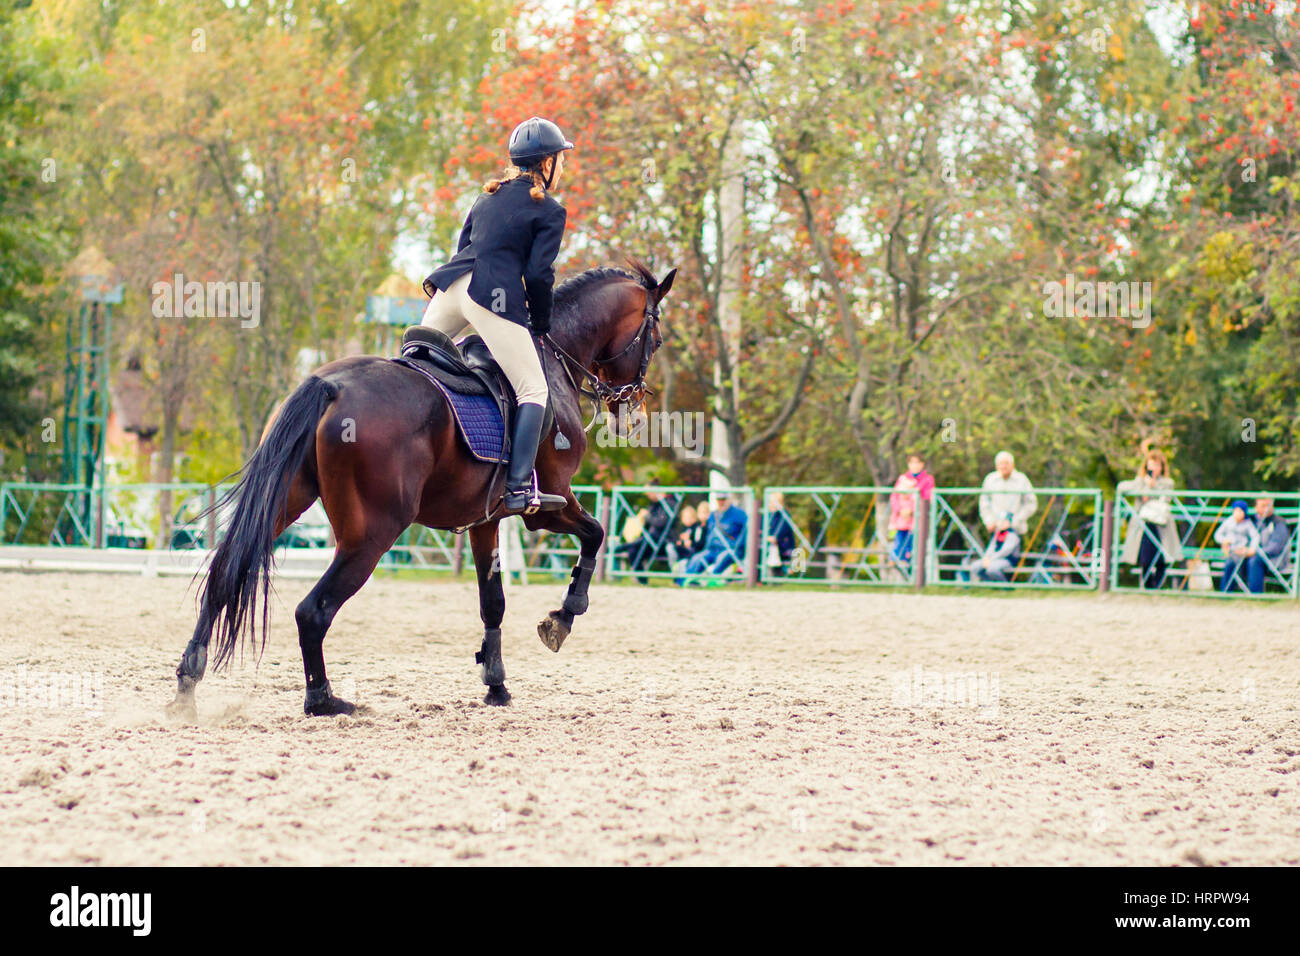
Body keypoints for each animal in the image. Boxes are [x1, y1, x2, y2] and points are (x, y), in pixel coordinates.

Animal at [167, 258, 676, 718]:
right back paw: (324, 701)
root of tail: (329, 384)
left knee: (224, 575)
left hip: (288, 503)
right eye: (655, 339)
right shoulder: (549, 505)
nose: (632, 412)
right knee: (313, 611)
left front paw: (495, 684)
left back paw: (187, 688)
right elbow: (595, 534)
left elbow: (493, 602)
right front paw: (563, 617)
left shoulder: (485, 521)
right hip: (373, 534)